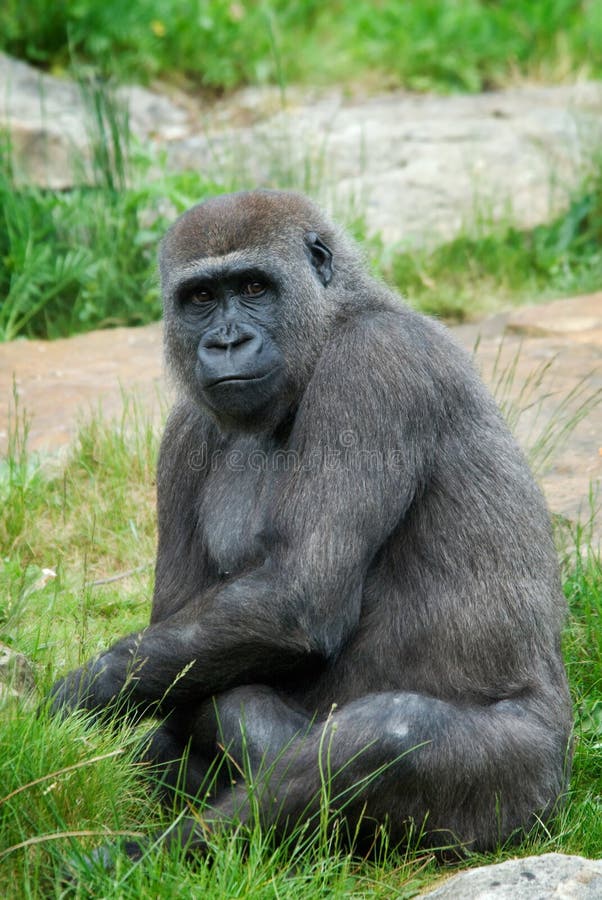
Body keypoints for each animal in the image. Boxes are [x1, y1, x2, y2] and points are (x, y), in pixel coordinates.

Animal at [49, 189, 572, 860]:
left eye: (253, 287)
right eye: (200, 297)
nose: (226, 342)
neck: (330, 325)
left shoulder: (373, 364)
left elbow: (297, 598)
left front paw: (60, 703)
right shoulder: (184, 431)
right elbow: (178, 634)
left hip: (529, 795)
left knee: (391, 735)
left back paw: (150, 852)